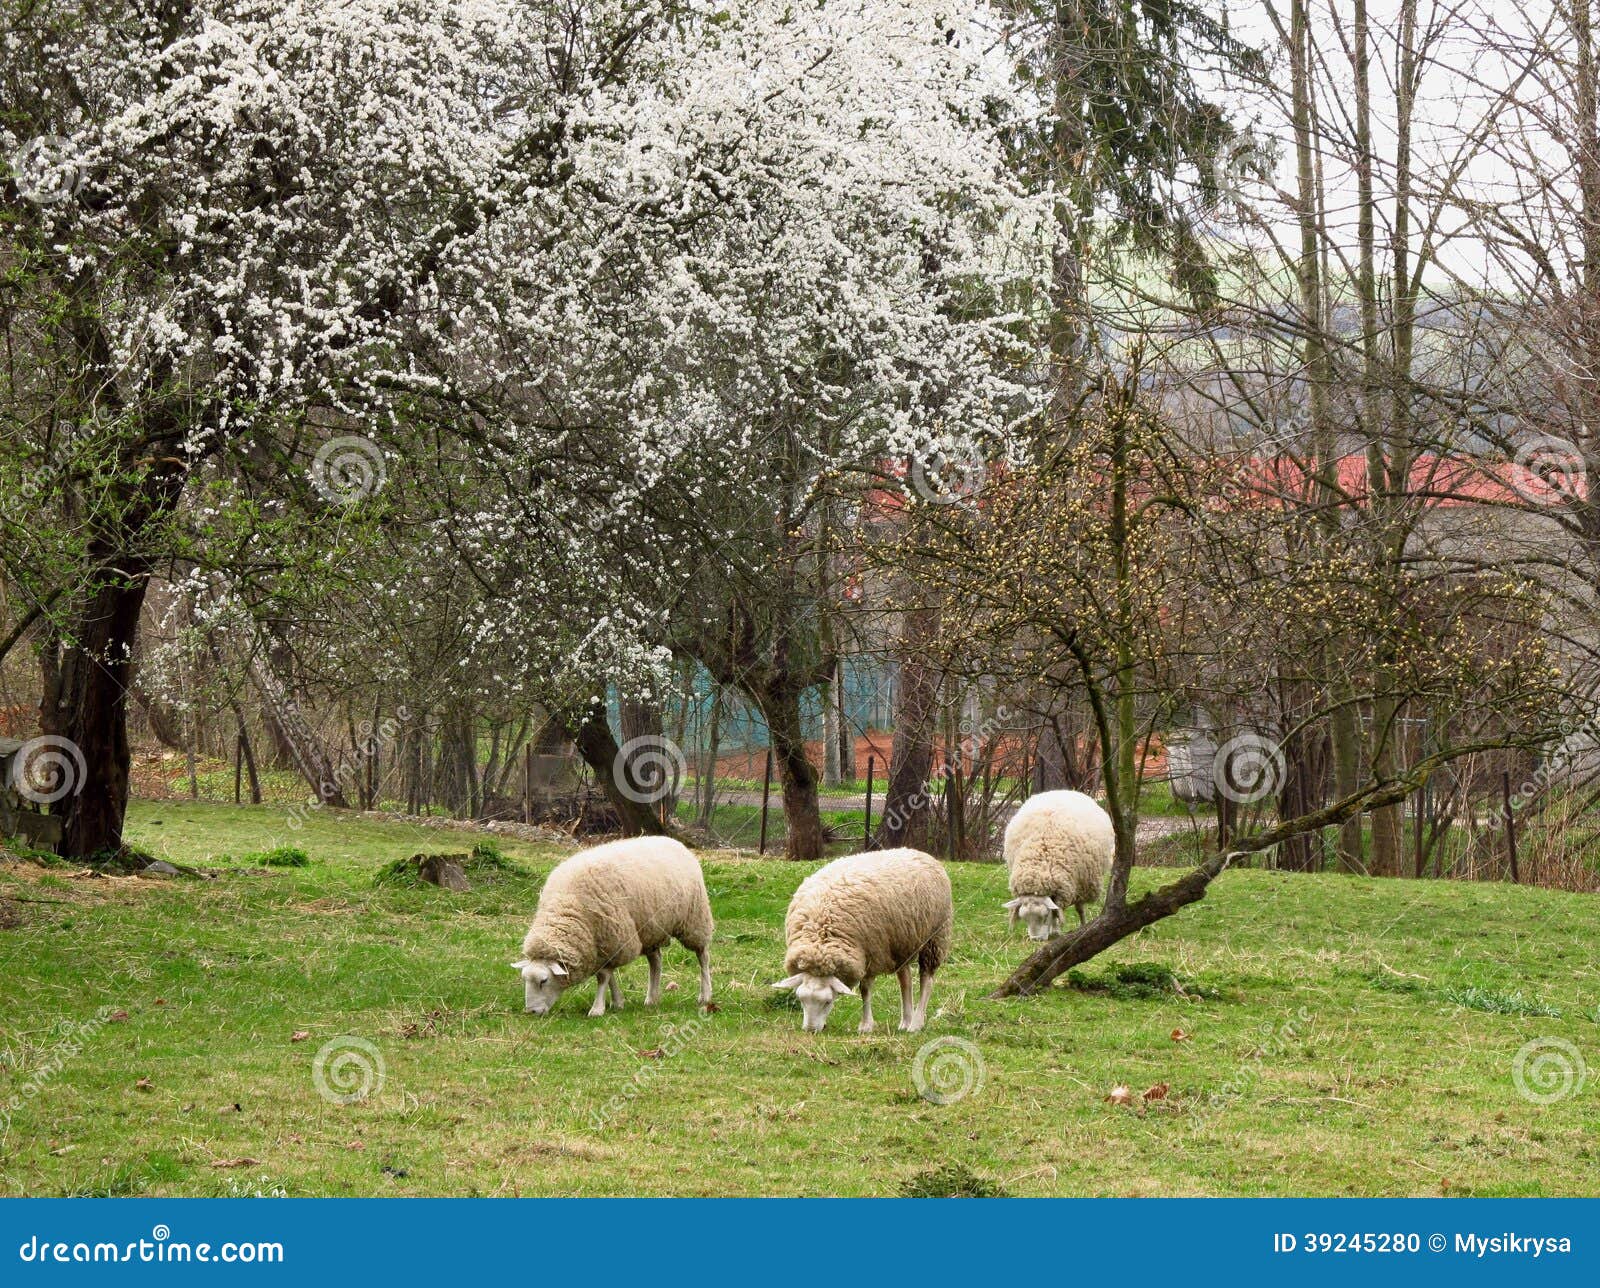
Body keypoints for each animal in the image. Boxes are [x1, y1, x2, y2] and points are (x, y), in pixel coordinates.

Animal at [510, 835, 713, 1017]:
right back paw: (651, 998)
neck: (566, 908)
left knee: (702, 956)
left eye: (543, 981)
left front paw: (597, 1009)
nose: (531, 1011)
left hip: (695, 920)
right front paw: (617, 1002)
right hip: (650, 929)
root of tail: (675, 842)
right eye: (525, 979)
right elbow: (610, 977)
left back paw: (705, 995)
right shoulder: (604, 945)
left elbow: (603, 977)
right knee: (655, 962)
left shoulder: (614, 940)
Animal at [772, 847, 951, 1034]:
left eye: (828, 1002)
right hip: (902, 941)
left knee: (926, 980)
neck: (821, 941)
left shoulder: (871, 953)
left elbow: (865, 990)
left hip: (935, 936)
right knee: (905, 980)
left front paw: (866, 1025)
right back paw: (905, 1021)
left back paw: (916, 1023)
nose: (810, 1030)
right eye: (800, 999)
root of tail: (919, 852)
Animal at [1002, 789, 1114, 941]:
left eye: (1044, 917)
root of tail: (1063, 790)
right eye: (1024, 919)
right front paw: (1053, 930)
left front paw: (1058, 931)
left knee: (1079, 908)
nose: (1036, 939)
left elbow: (1061, 910)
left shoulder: (1076, 884)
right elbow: (1055, 910)